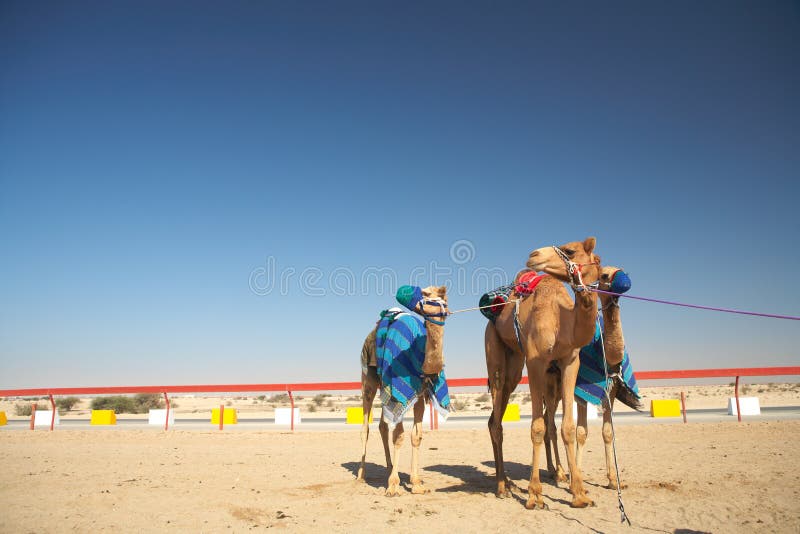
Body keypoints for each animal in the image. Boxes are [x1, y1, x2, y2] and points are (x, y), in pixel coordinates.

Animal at [356, 285, 450, 496]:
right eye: (425, 296)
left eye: (443, 301)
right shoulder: (399, 393)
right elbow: (399, 436)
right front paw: (393, 485)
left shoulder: (420, 394)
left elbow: (416, 436)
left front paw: (415, 483)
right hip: (369, 380)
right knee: (365, 427)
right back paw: (361, 475)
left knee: (383, 426)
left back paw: (390, 467)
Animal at [485, 237, 601, 509]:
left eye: (570, 250)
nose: (534, 255)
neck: (562, 321)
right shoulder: (536, 362)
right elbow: (537, 427)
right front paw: (535, 495)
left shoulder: (570, 362)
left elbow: (567, 427)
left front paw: (579, 494)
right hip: (496, 352)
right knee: (496, 419)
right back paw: (502, 486)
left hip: (515, 362)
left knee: (497, 414)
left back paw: (507, 482)